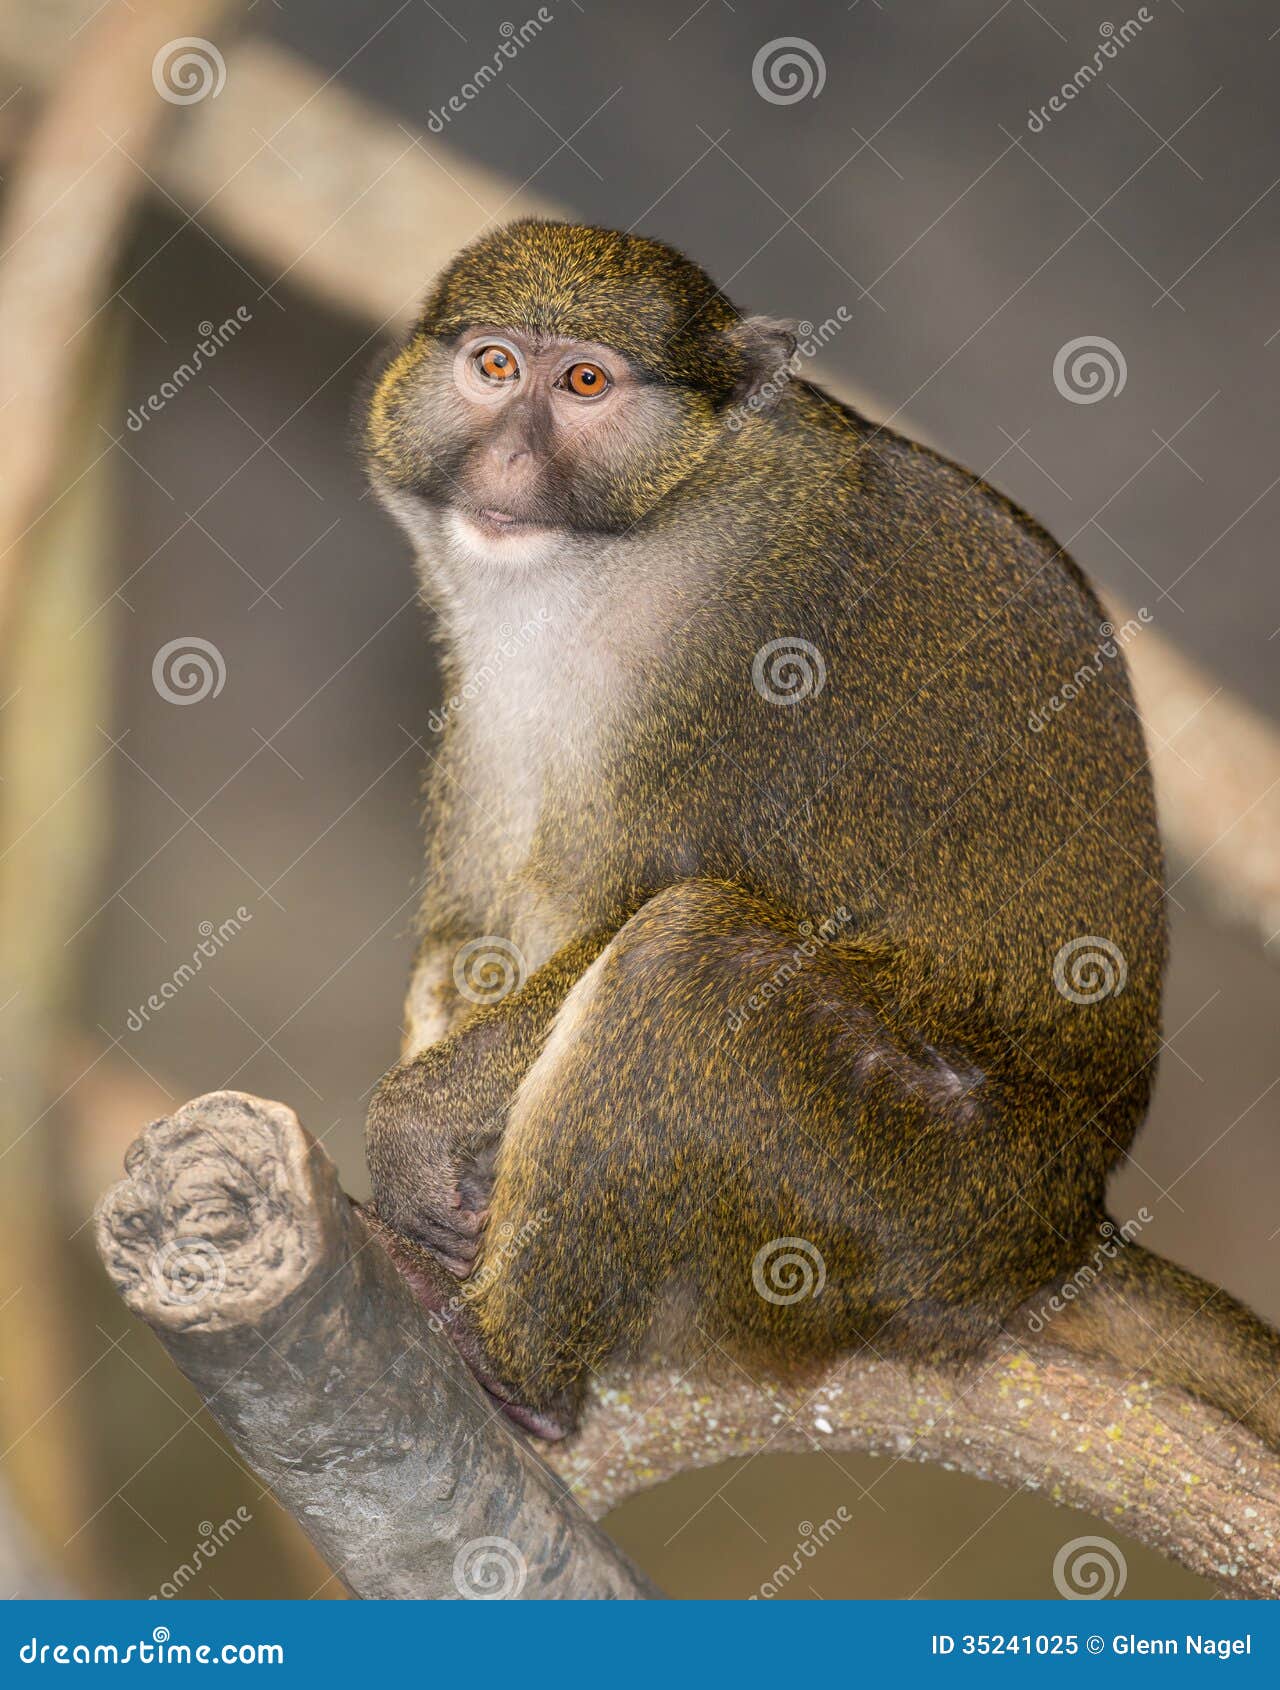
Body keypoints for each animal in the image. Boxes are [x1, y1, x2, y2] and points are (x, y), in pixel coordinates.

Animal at [359, 216, 1280, 1446]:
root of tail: (1063, 1233)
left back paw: (516, 1367)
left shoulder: (753, 646)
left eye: (586, 383)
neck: (625, 547)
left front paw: (414, 1128)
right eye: (494, 366)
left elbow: (633, 909)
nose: (506, 458)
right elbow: (471, 939)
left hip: (915, 1198)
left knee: (689, 962)